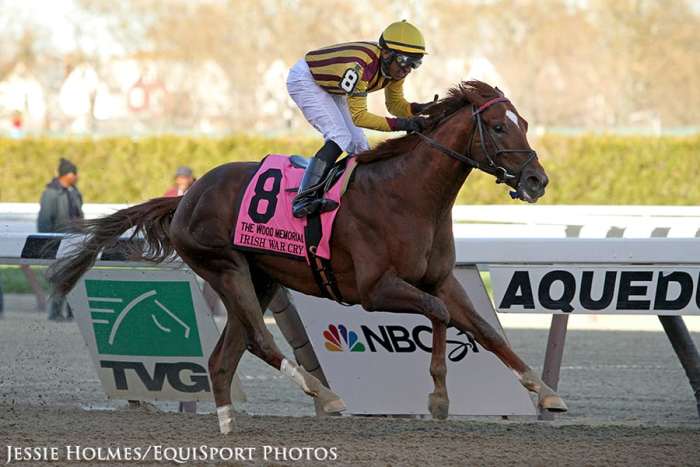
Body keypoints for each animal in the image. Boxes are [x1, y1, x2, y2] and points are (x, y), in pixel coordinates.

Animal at [49, 80, 567, 433]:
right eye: (498, 126)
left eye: (522, 123)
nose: (537, 180)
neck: (409, 196)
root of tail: (187, 196)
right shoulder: (376, 289)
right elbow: (439, 315)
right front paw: (438, 398)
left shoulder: (439, 278)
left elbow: (484, 330)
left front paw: (546, 393)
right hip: (225, 267)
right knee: (259, 340)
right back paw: (324, 394)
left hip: (259, 278)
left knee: (224, 355)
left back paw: (228, 423)